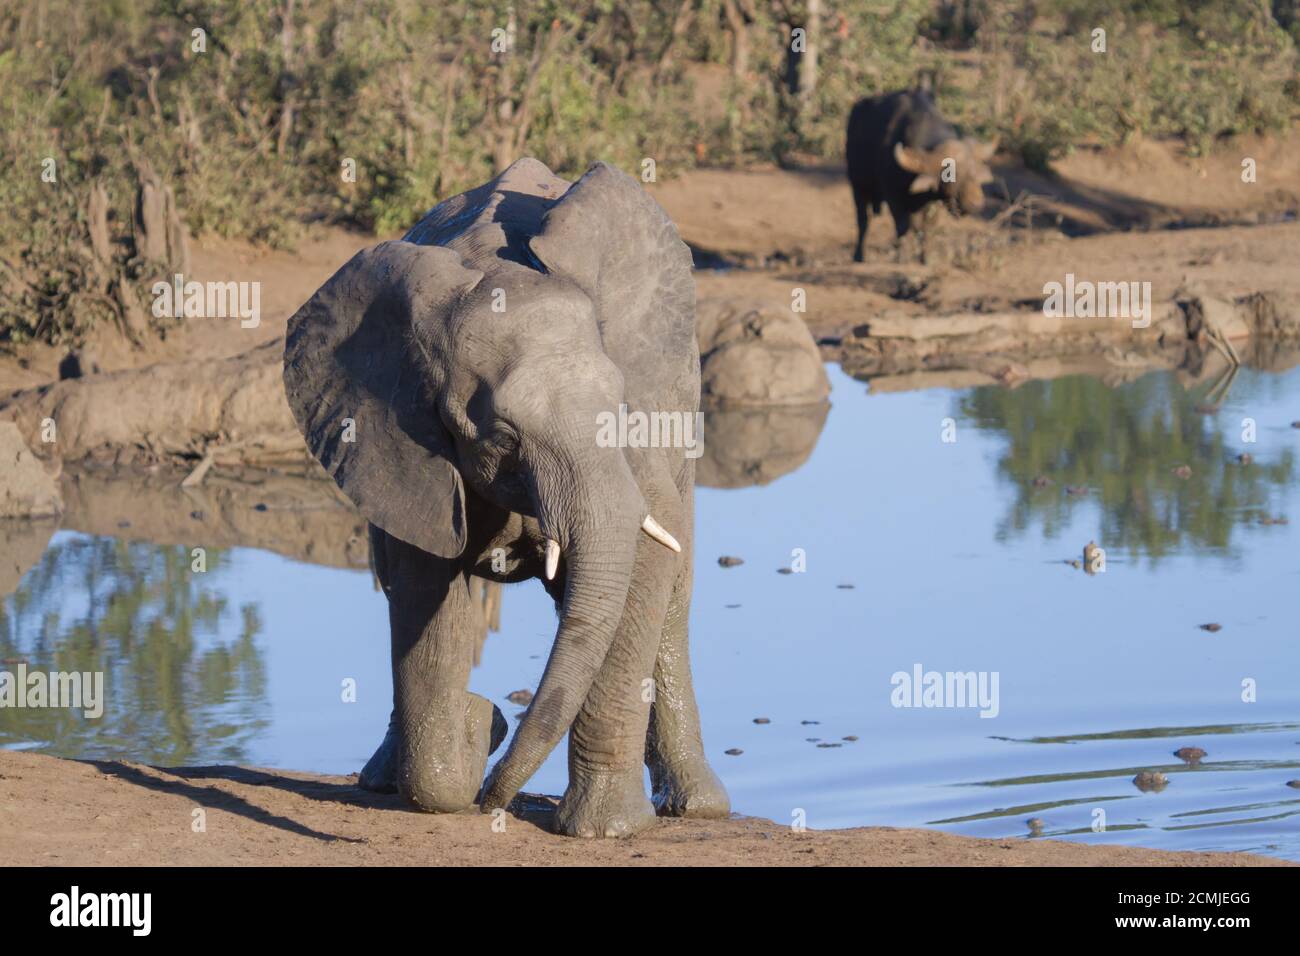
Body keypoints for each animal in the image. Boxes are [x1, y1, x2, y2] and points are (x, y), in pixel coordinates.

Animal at [283, 157, 730, 837]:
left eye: (621, 406)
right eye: (503, 435)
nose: (493, 797)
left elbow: (645, 571)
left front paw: (604, 831)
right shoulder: (404, 444)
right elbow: (423, 590)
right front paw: (474, 729)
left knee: (673, 599)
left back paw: (699, 808)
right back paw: (383, 778)